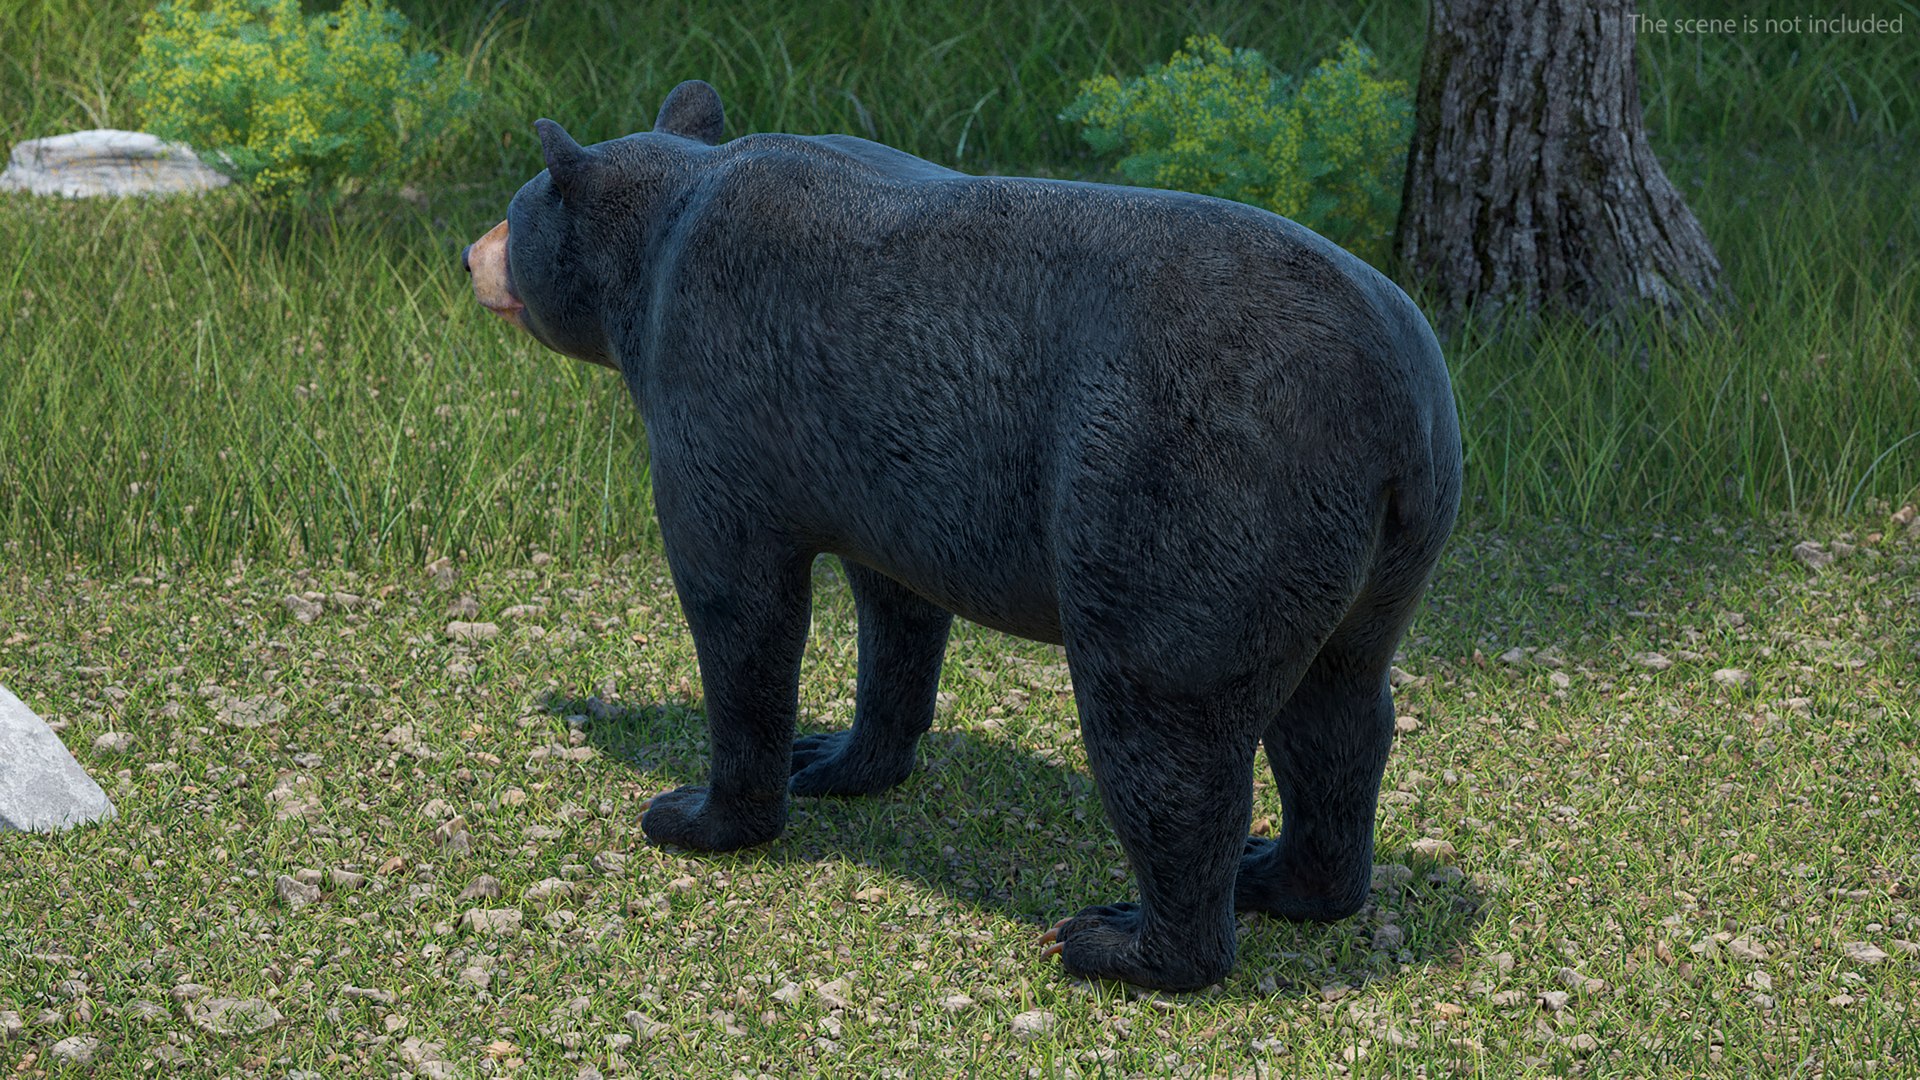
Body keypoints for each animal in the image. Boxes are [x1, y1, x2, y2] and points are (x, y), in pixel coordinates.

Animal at [464, 79, 1462, 992]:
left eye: (515, 211)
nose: (470, 252)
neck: (662, 238)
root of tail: (1391, 416)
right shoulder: (883, 471)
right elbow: (897, 612)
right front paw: (838, 755)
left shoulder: (718, 393)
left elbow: (740, 606)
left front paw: (700, 813)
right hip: (1381, 553)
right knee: (1339, 711)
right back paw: (1288, 877)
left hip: (1188, 503)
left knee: (1167, 729)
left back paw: (1128, 944)